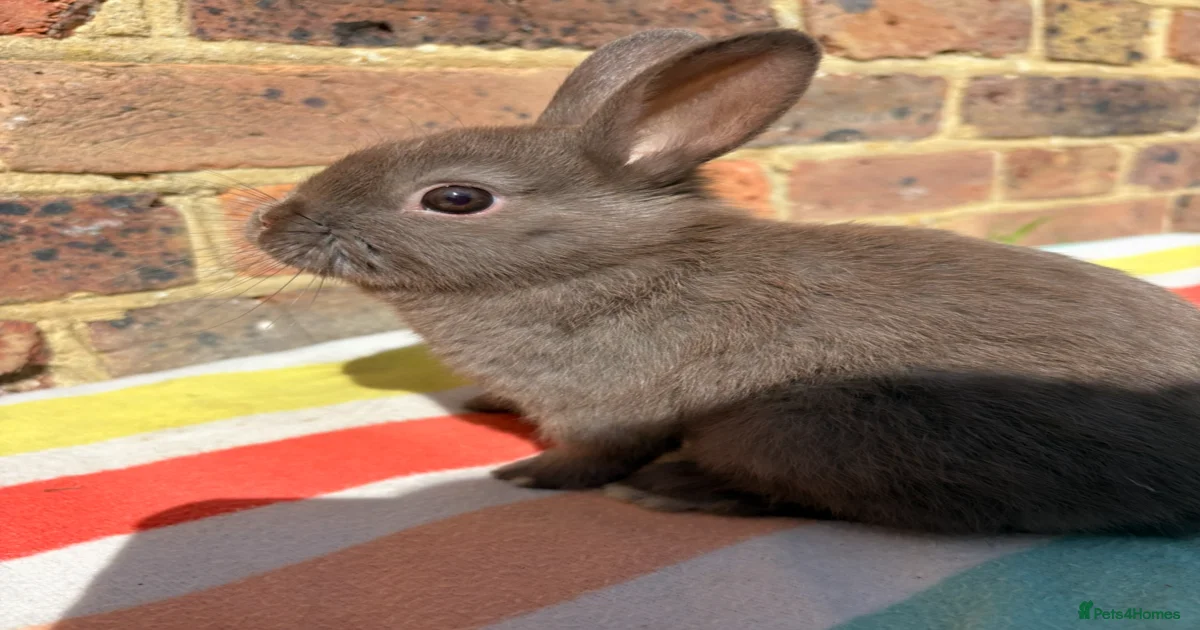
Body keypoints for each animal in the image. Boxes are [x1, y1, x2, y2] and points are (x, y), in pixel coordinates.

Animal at [247, 27, 1200, 535]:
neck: (588, 266)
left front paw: (523, 478)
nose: (269, 225)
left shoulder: (603, 411)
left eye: (456, 198)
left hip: (797, 427)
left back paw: (673, 489)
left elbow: (587, 458)